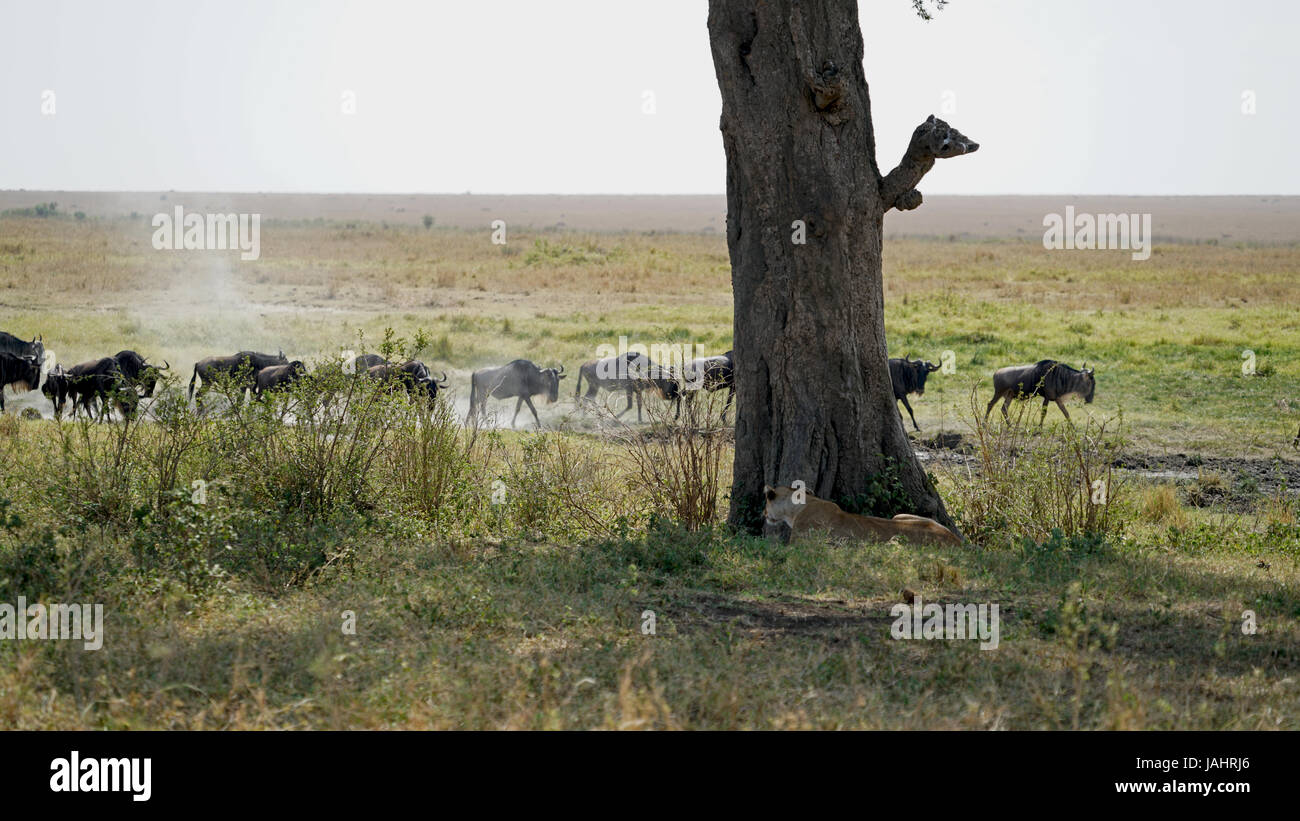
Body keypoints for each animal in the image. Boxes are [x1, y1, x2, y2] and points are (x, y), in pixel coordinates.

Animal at [763, 484, 961, 547]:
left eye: (766, 501)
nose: (763, 513)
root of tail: (956, 541)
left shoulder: (799, 543)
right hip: (899, 516)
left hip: (894, 540)